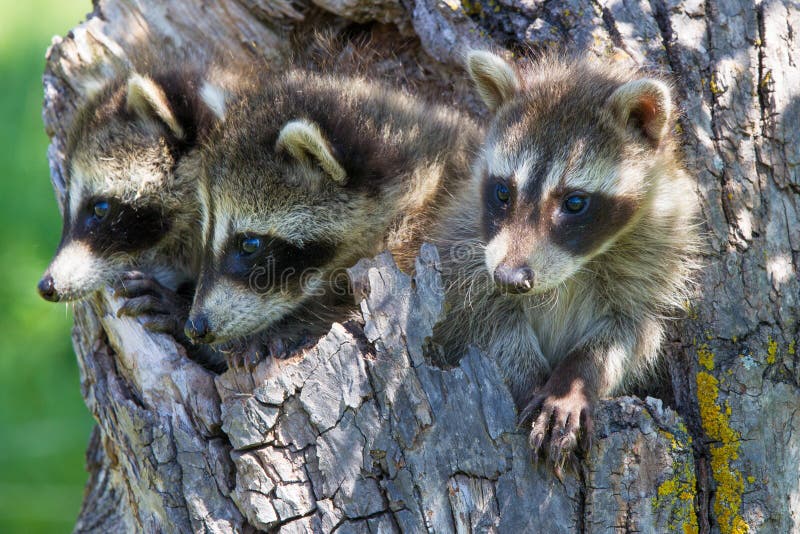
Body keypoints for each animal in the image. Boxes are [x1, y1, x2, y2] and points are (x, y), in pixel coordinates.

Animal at [432, 52, 700, 474]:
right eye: (503, 192)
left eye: (574, 202)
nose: (510, 277)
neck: (573, 272)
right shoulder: (463, 243)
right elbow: (480, 317)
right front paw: (526, 373)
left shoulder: (657, 252)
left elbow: (630, 333)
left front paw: (574, 380)